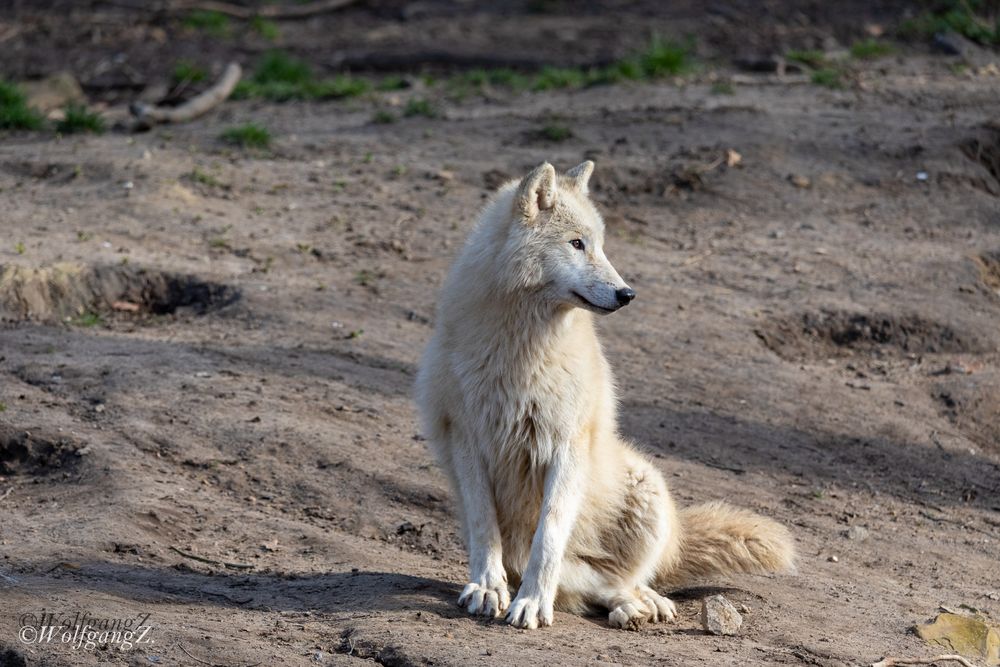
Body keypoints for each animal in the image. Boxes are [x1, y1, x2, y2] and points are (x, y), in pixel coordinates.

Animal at [415, 161, 795, 630]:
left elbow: (549, 538)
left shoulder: (567, 446)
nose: (627, 294)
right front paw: (488, 589)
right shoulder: (466, 439)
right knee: (580, 582)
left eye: (600, 245)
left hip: (649, 486)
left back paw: (641, 603)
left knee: (614, 577)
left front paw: (532, 603)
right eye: (576, 244)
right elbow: (486, 529)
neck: (521, 348)